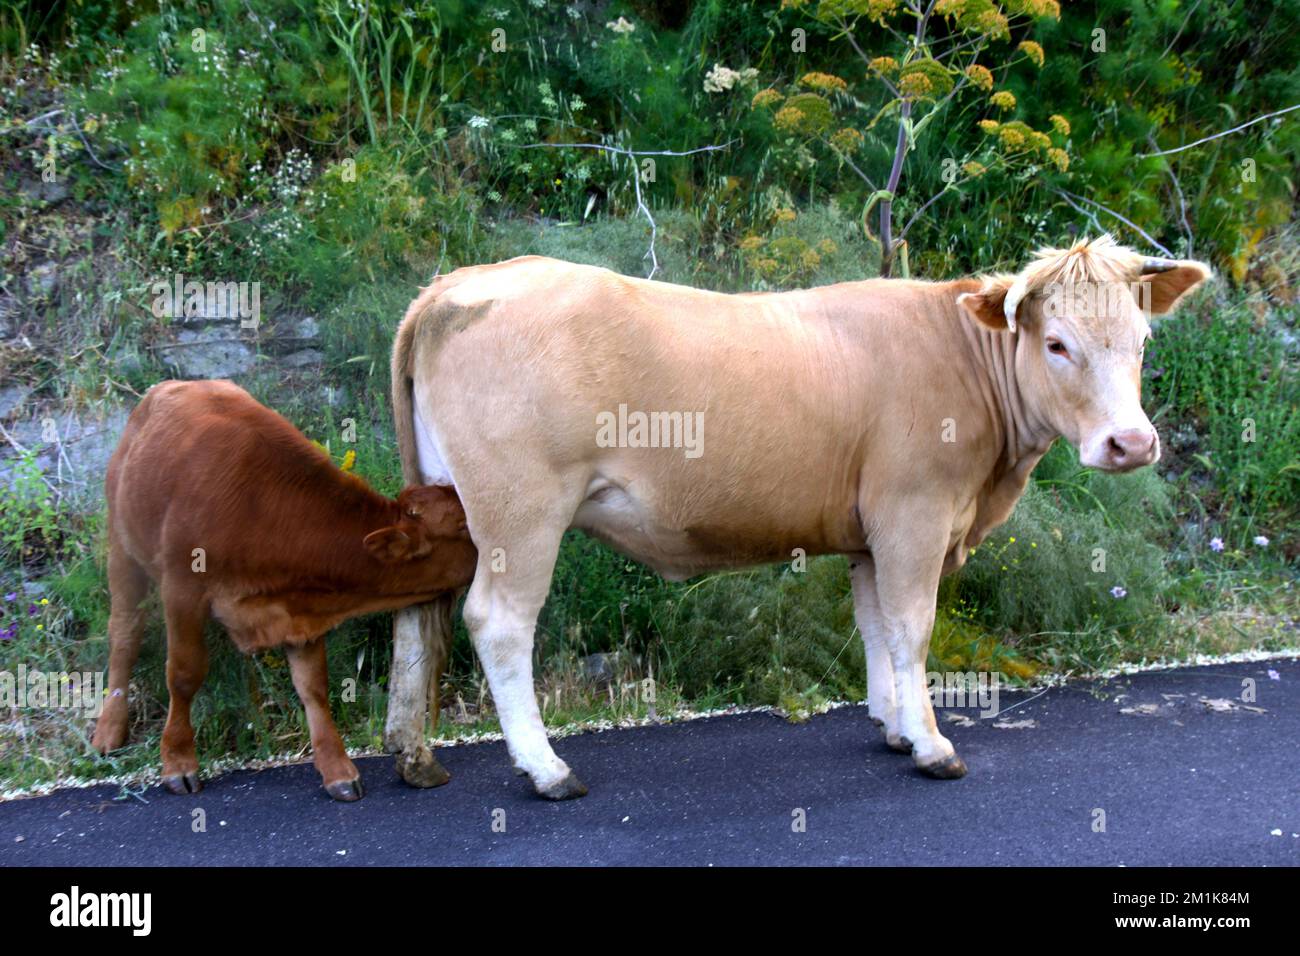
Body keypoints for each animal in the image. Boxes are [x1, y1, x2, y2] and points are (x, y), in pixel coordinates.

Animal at [92, 380, 477, 801]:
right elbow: (184, 673)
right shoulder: (182, 589)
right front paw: (178, 763)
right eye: (462, 524)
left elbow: (313, 686)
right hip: (122, 546)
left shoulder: (298, 606)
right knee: (124, 633)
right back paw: (108, 730)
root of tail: (171, 387)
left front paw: (337, 769)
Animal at [383, 235, 1210, 799]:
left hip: (444, 504)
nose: (1132, 443)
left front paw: (894, 728)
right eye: (1057, 343)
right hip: (521, 513)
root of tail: (459, 283)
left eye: (1142, 343)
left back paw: (413, 755)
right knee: (498, 622)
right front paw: (932, 745)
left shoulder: (871, 534)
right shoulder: (914, 516)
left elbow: (876, 627)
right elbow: (912, 628)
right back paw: (546, 768)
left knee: (418, 612)